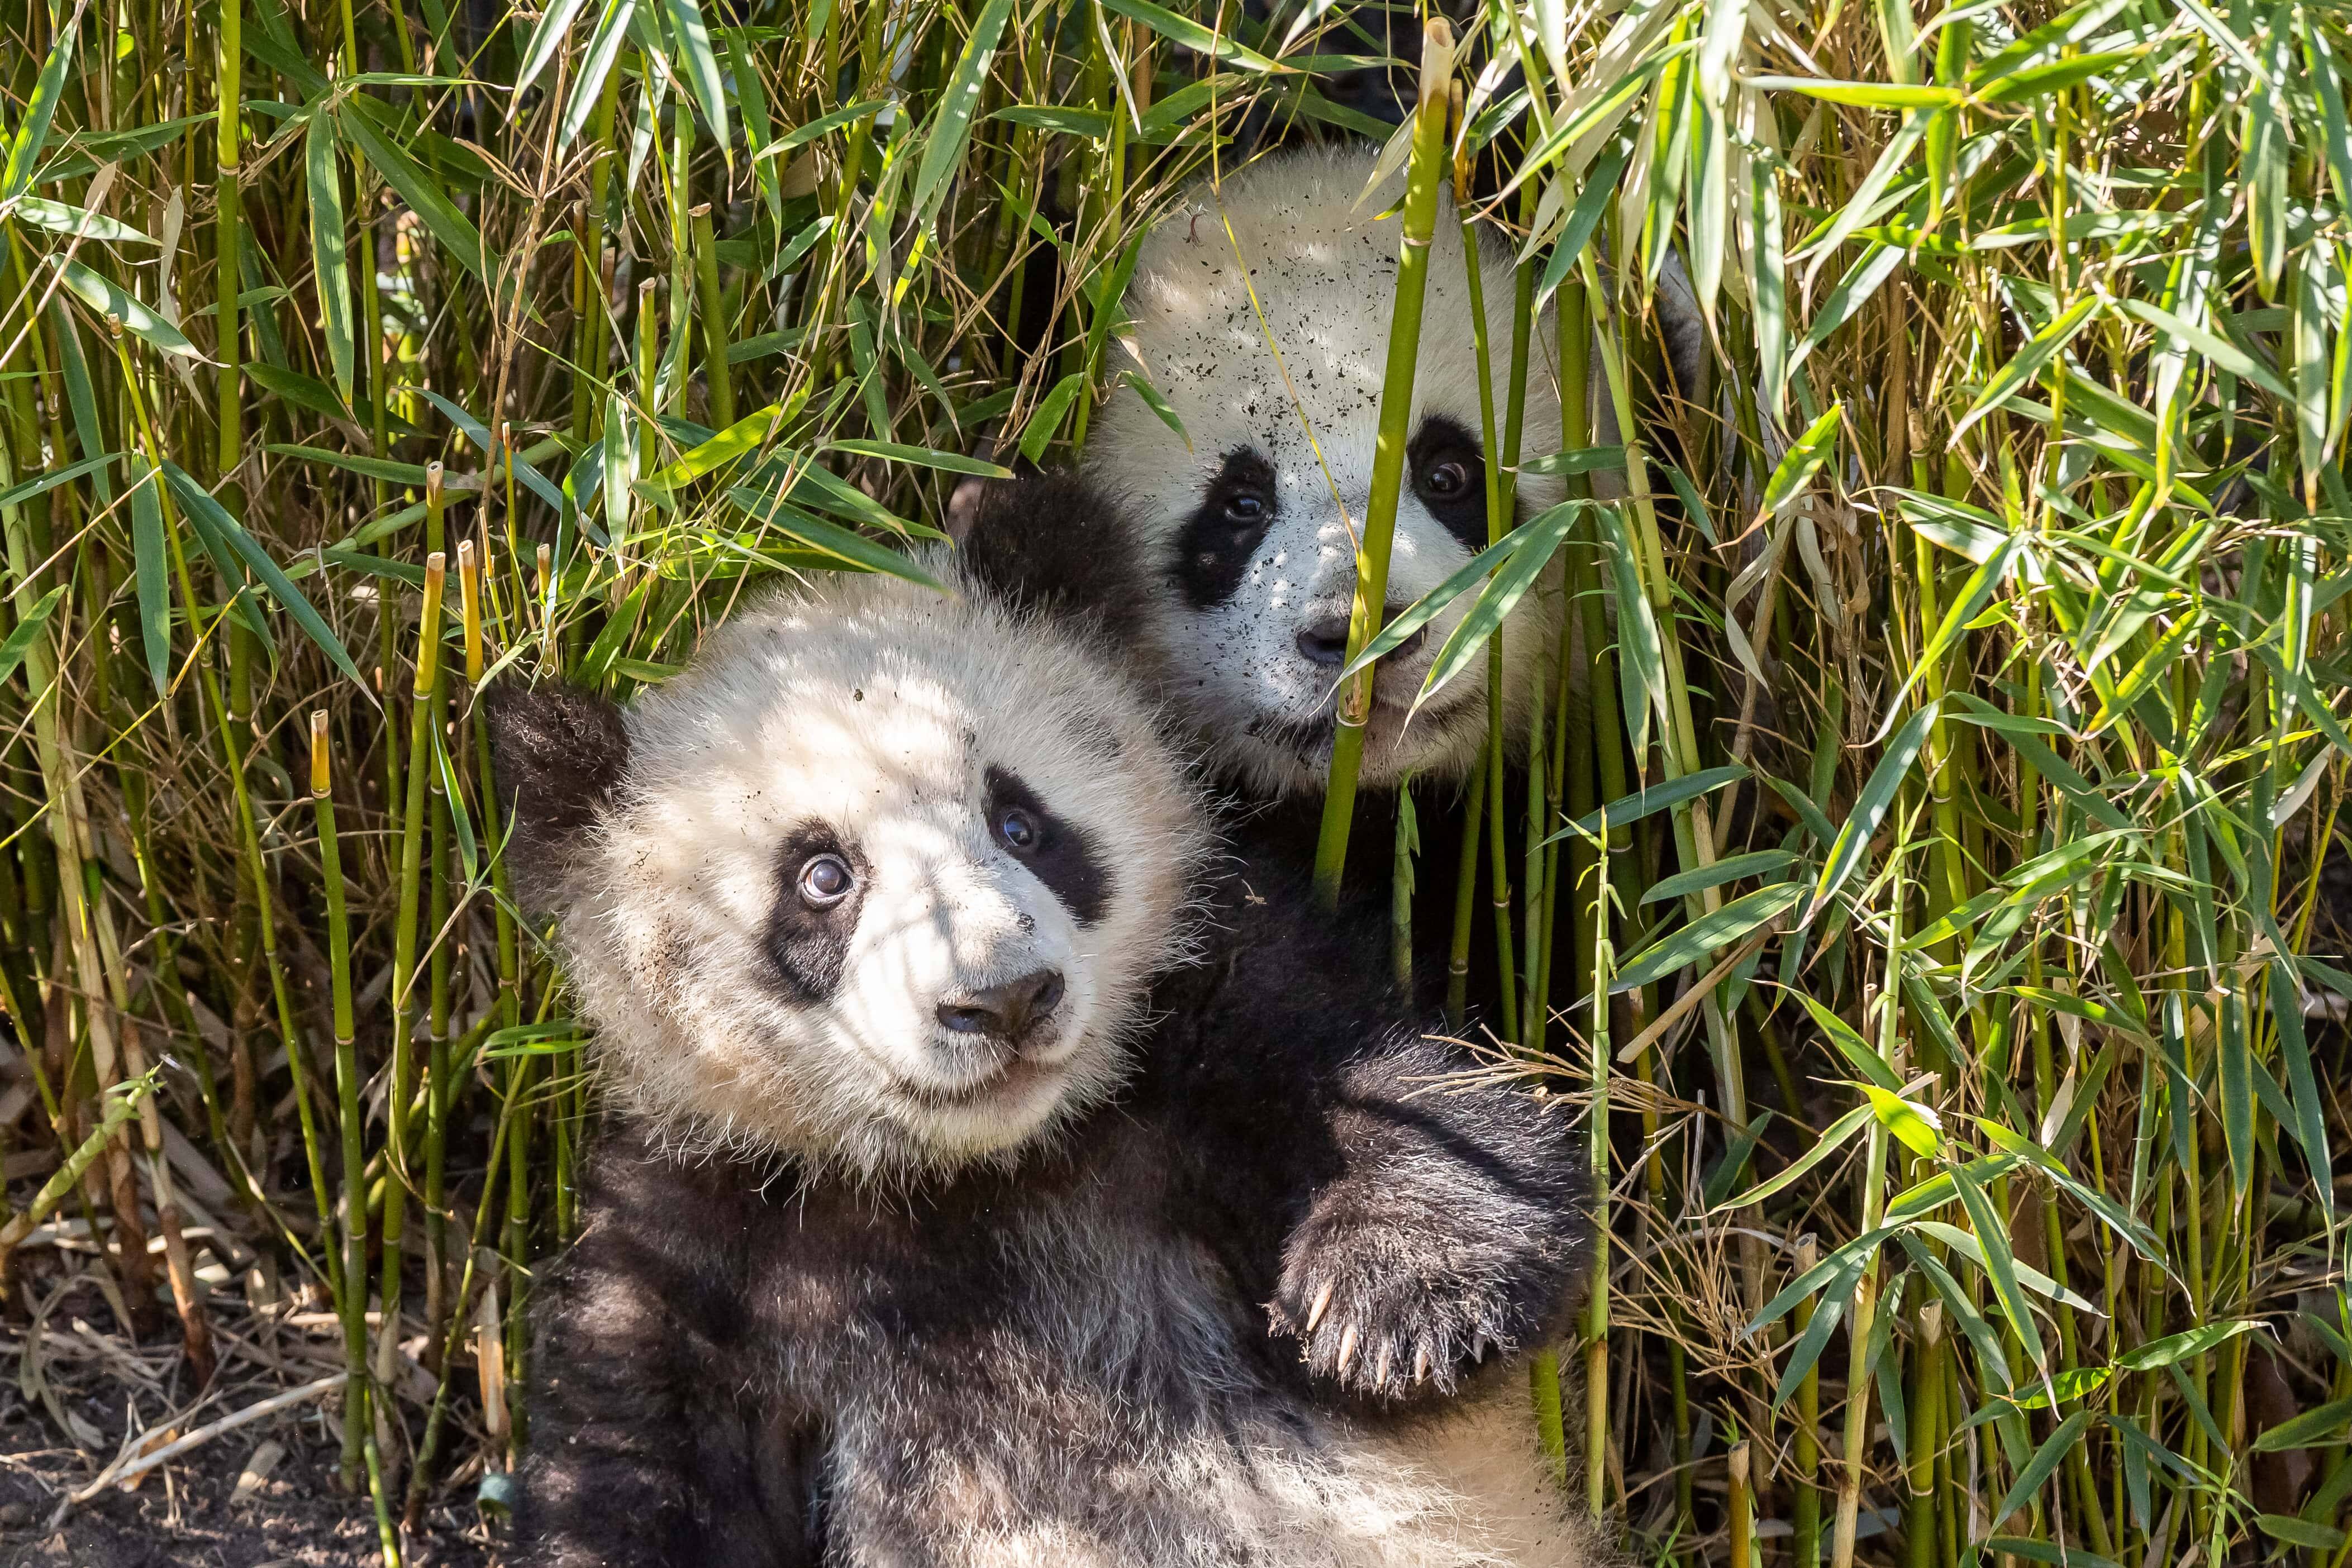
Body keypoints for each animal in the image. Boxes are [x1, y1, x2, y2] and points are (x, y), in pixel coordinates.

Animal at [494, 475, 1596, 1568]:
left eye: (1021, 822)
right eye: (822, 878)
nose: (1004, 998)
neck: (984, 1174)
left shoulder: (1201, 1002)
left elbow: (1409, 1098)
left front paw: (1390, 1305)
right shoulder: (706, 1237)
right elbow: (631, 1475)